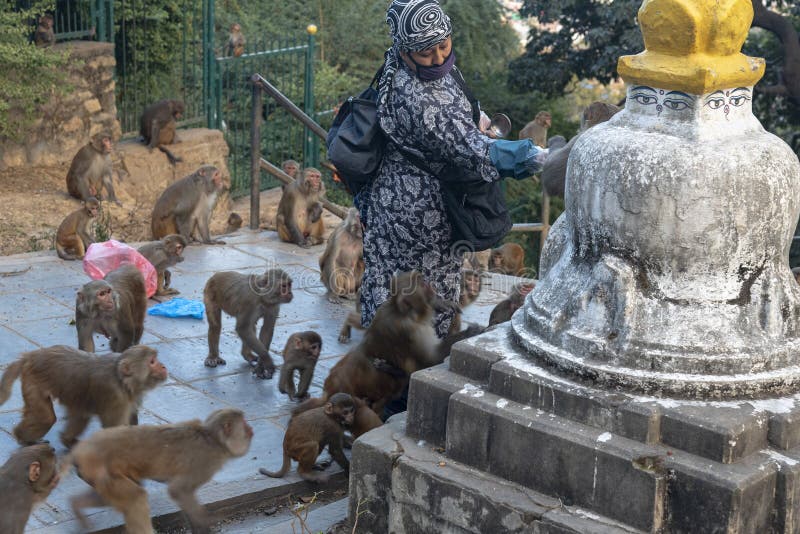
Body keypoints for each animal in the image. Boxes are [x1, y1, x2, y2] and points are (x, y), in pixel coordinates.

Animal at [0, 345, 167, 447]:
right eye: (152, 362)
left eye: (156, 359)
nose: (164, 366)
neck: (121, 379)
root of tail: (31, 356)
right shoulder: (115, 396)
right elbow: (113, 429)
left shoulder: (133, 394)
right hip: (32, 381)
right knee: (46, 418)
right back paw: (23, 438)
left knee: (81, 413)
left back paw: (67, 440)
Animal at [66, 409, 252, 534]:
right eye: (244, 424)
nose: (251, 429)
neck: (213, 439)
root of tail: (81, 450)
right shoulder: (205, 463)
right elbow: (178, 491)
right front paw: (205, 523)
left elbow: (181, 495)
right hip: (99, 469)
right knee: (136, 498)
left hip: (96, 475)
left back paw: (76, 505)